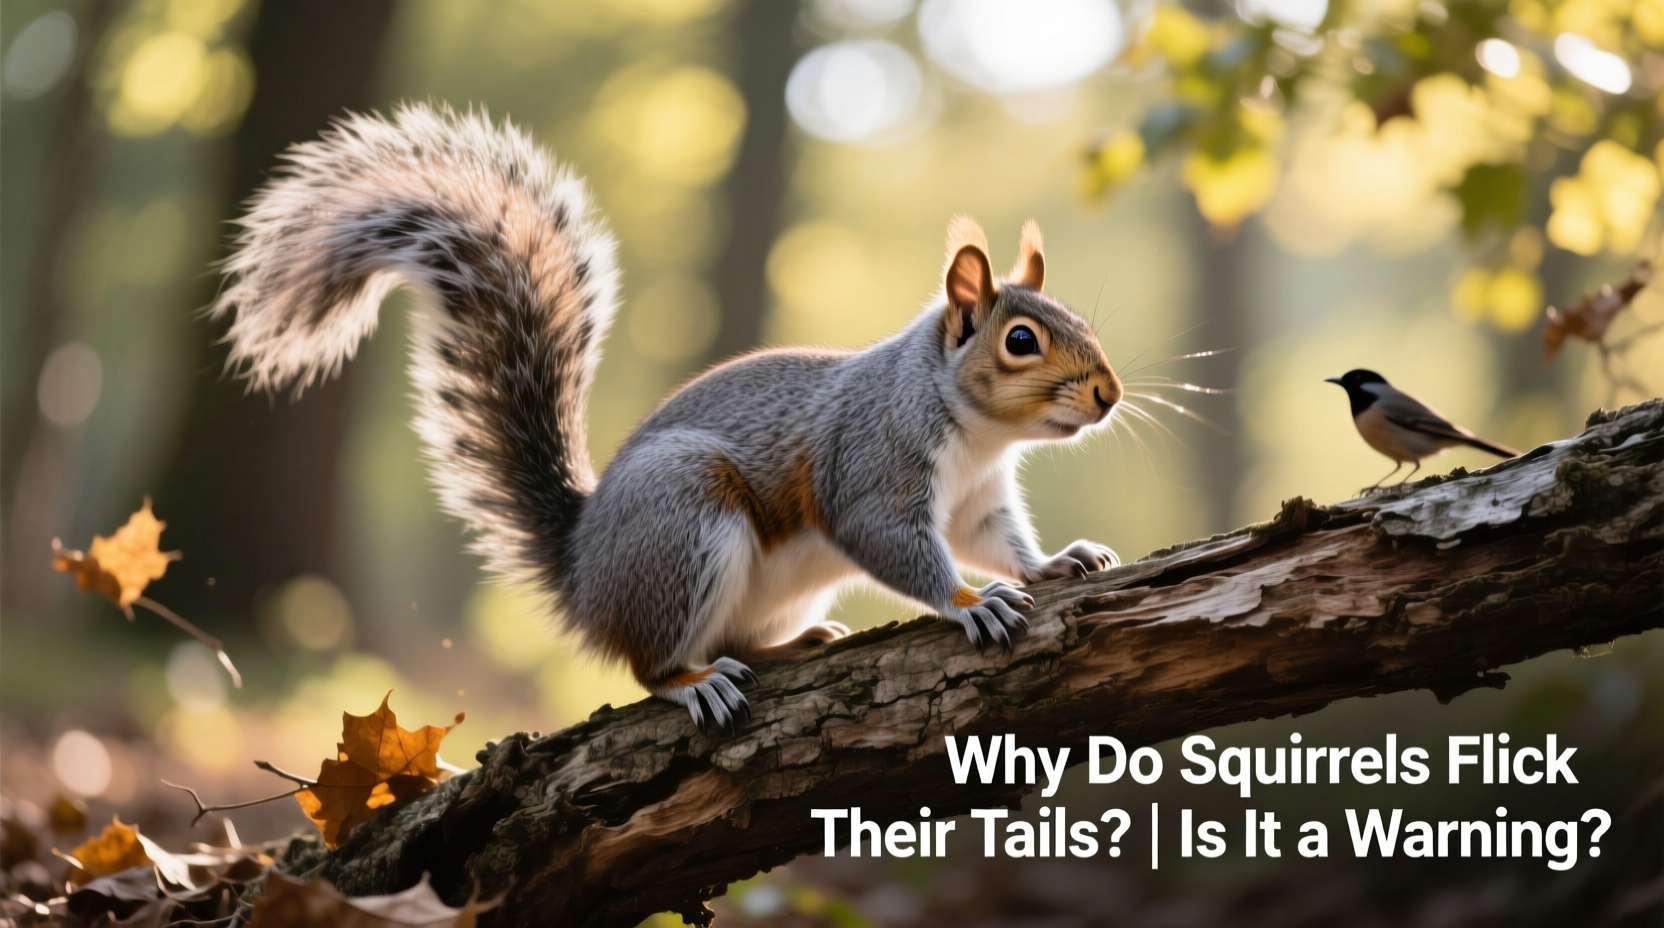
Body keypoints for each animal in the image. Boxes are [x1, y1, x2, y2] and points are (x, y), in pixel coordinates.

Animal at [213, 104, 1124, 727]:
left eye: (1080, 317)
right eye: (1020, 340)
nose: (1109, 394)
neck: (972, 432)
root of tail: (584, 575)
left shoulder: (977, 499)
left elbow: (995, 540)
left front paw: (1052, 564)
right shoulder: (876, 461)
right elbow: (892, 541)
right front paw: (971, 603)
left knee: (741, 640)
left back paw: (793, 645)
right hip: (683, 522)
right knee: (650, 665)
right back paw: (693, 682)